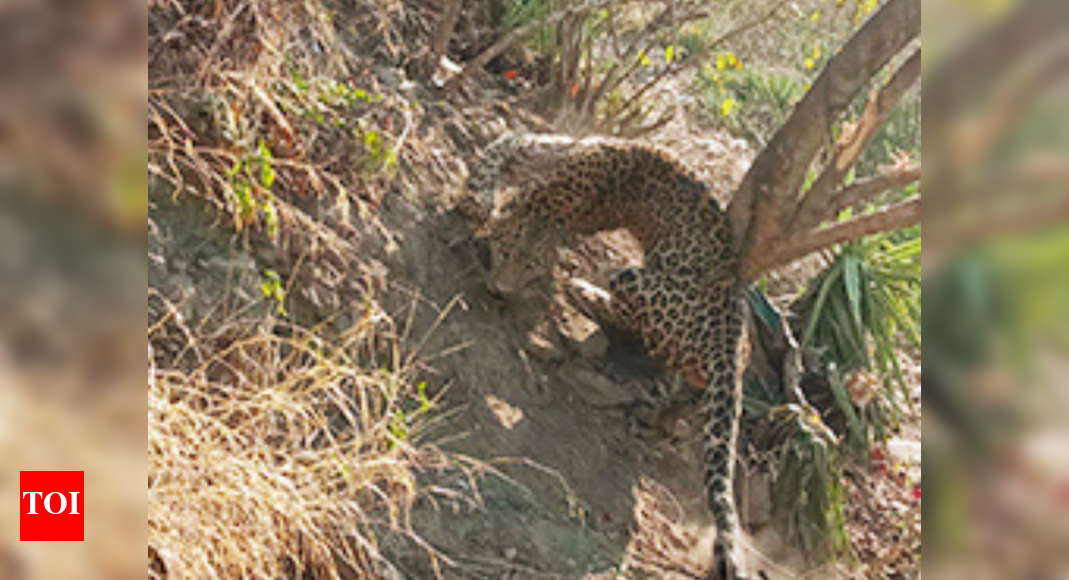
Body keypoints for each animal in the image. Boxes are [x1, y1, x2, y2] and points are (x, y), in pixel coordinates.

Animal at [467, 133, 751, 580]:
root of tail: (732, 339)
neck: (555, 201)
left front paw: (479, 198)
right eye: (508, 251)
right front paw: (483, 194)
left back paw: (582, 288)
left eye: (530, 267)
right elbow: (513, 144)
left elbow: (511, 154)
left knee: (627, 315)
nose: (499, 291)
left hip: (637, 279)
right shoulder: (555, 149)